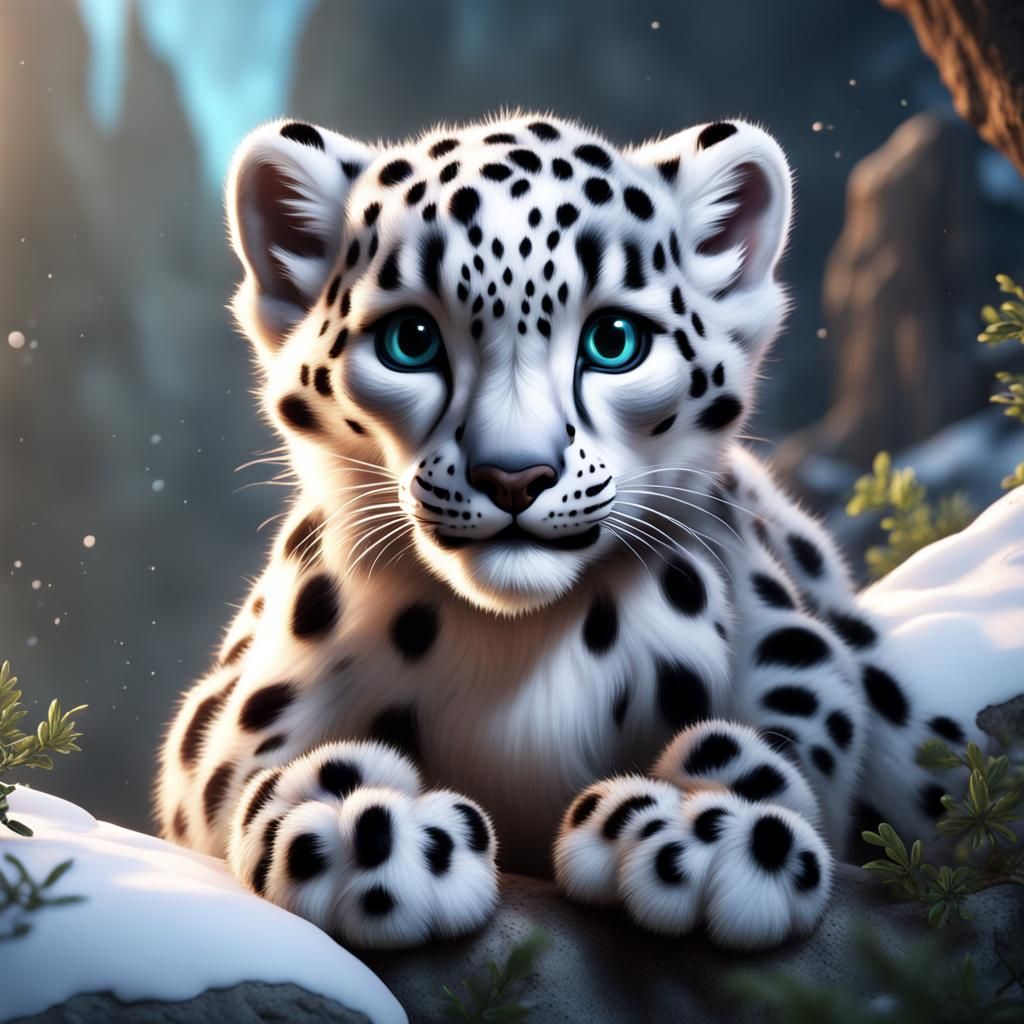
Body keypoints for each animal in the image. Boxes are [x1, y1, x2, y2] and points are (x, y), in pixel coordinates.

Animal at [156, 112, 985, 951]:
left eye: (614, 340)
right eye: (410, 339)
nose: (513, 475)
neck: (514, 654)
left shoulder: (791, 645)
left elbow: (796, 726)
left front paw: (708, 830)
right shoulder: (233, 712)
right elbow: (231, 769)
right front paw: (363, 827)